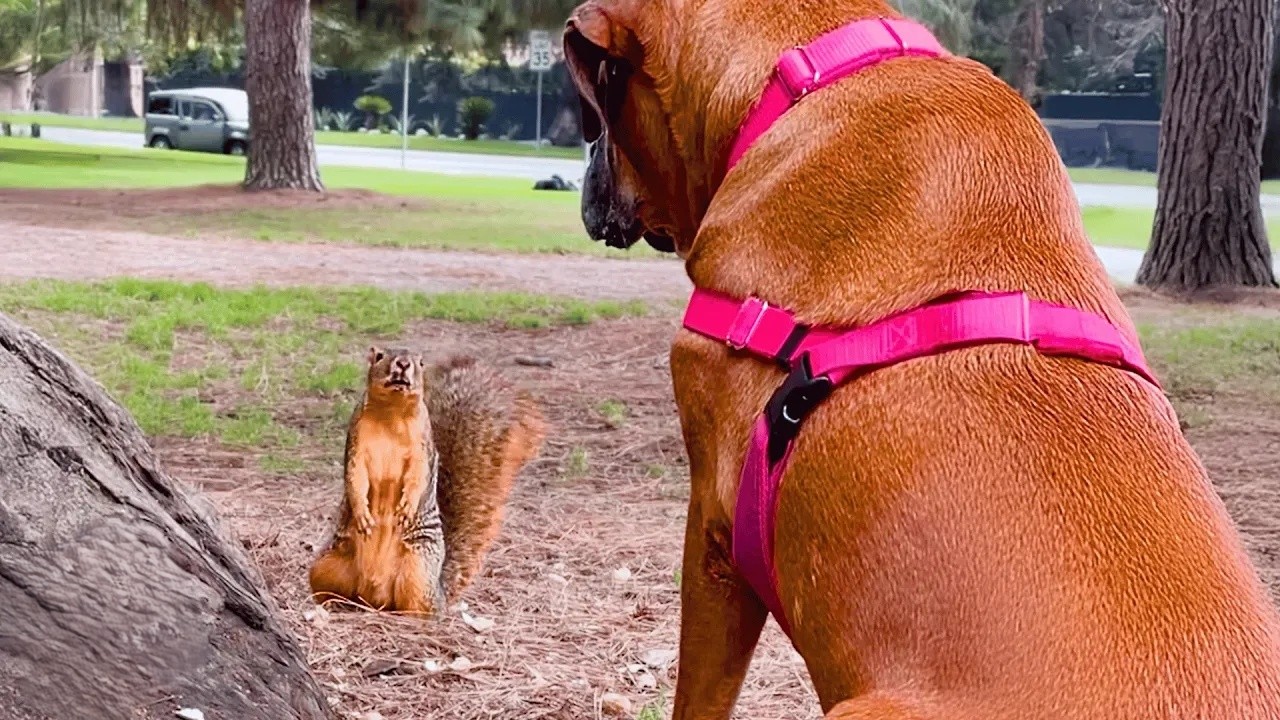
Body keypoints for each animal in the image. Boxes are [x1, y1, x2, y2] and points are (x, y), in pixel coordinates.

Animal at [308, 348, 547, 615]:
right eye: (379, 356)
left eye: (421, 362)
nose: (403, 364)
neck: (391, 414)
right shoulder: (356, 445)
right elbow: (355, 478)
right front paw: (362, 513)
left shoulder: (422, 448)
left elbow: (418, 476)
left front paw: (408, 506)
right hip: (325, 566)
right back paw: (333, 604)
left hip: (418, 570)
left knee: (419, 606)